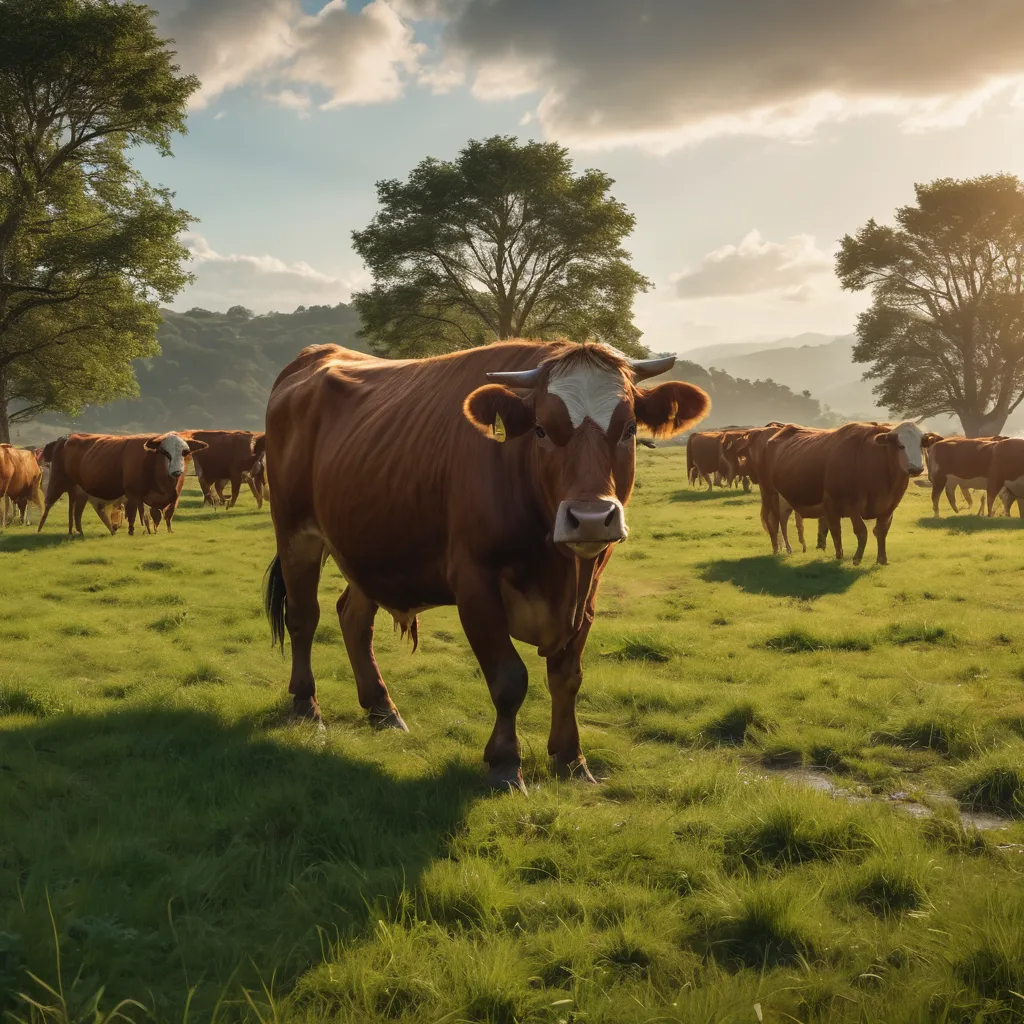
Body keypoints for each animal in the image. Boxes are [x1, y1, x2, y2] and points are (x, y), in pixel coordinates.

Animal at [37, 433, 207, 536]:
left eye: (185, 452)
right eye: (164, 452)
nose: (177, 472)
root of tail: (66, 437)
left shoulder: (172, 498)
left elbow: (163, 516)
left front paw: (165, 531)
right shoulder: (132, 494)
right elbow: (133, 515)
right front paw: (132, 532)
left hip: (78, 491)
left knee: (75, 511)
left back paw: (75, 532)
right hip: (57, 482)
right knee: (48, 505)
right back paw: (39, 530)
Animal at [263, 340, 710, 791]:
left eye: (630, 429)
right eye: (540, 429)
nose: (589, 518)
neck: (556, 569)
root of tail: (315, 354)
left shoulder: (588, 588)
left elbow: (567, 676)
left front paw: (570, 760)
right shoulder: (474, 582)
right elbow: (509, 679)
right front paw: (504, 764)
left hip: (367, 549)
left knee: (353, 618)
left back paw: (382, 710)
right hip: (295, 531)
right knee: (303, 616)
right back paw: (306, 705)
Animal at [760, 421, 941, 564]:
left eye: (921, 444)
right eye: (900, 445)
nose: (916, 468)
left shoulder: (889, 506)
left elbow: (881, 531)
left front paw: (882, 559)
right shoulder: (846, 505)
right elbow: (856, 532)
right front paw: (851, 557)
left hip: (785, 500)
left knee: (782, 521)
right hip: (770, 493)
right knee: (773, 522)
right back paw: (779, 549)